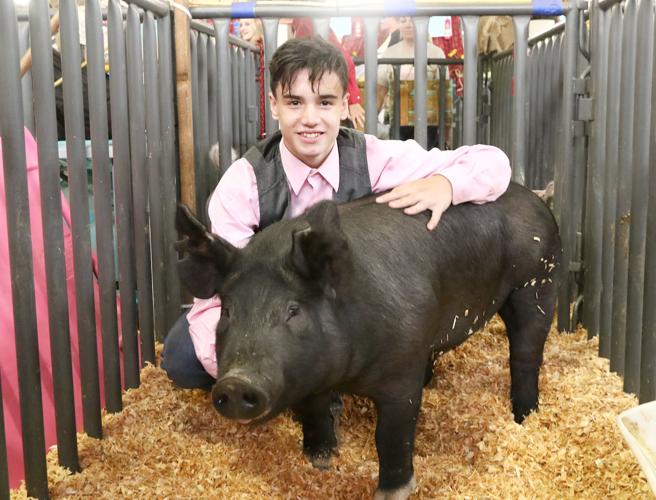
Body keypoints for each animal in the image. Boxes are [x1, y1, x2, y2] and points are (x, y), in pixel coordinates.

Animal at [175, 181, 560, 499]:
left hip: (538, 280)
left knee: (526, 352)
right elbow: (314, 412)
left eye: (293, 310)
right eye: (227, 311)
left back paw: (524, 417)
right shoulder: (310, 375)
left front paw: (393, 492)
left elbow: (391, 434)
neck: (345, 374)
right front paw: (321, 460)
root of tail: (534, 197)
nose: (236, 383)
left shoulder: (401, 374)